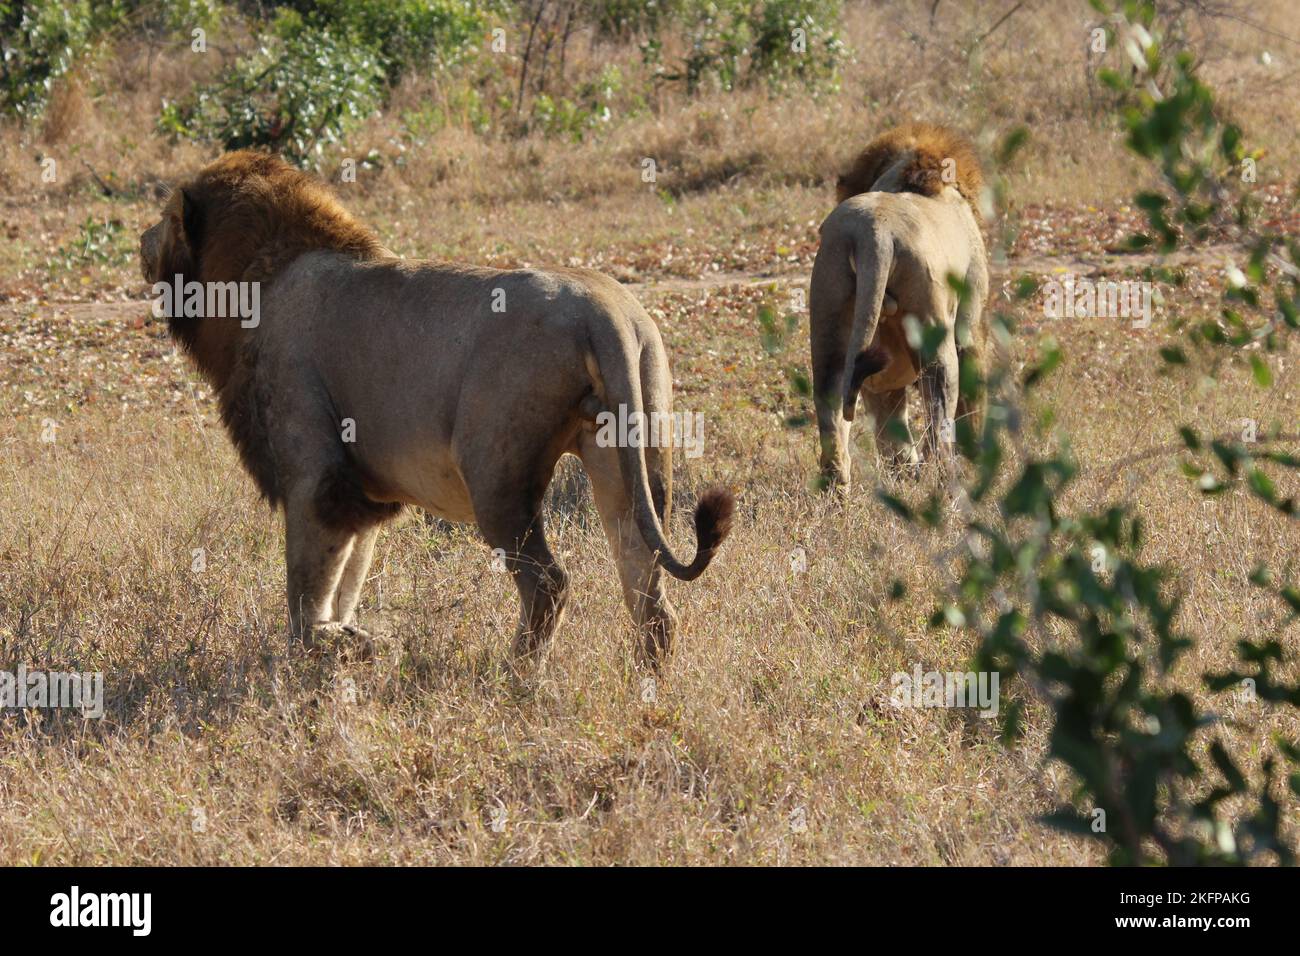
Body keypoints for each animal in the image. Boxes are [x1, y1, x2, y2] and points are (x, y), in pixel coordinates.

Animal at [138, 150, 734, 667]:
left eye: (164, 218)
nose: (139, 239)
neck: (258, 280)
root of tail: (604, 312)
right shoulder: (362, 490)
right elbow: (349, 571)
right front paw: (347, 636)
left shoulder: (315, 473)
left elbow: (306, 588)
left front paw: (318, 647)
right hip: (635, 455)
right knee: (646, 581)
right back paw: (648, 680)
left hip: (496, 476)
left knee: (550, 584)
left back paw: (514, 677)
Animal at [808, 122, 989, 490]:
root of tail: (874, 234)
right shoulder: (971, 318)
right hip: (933, 328)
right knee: (939, 414)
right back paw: (945, 485)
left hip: (829, 314)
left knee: (832, 406)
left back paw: (838, 492)